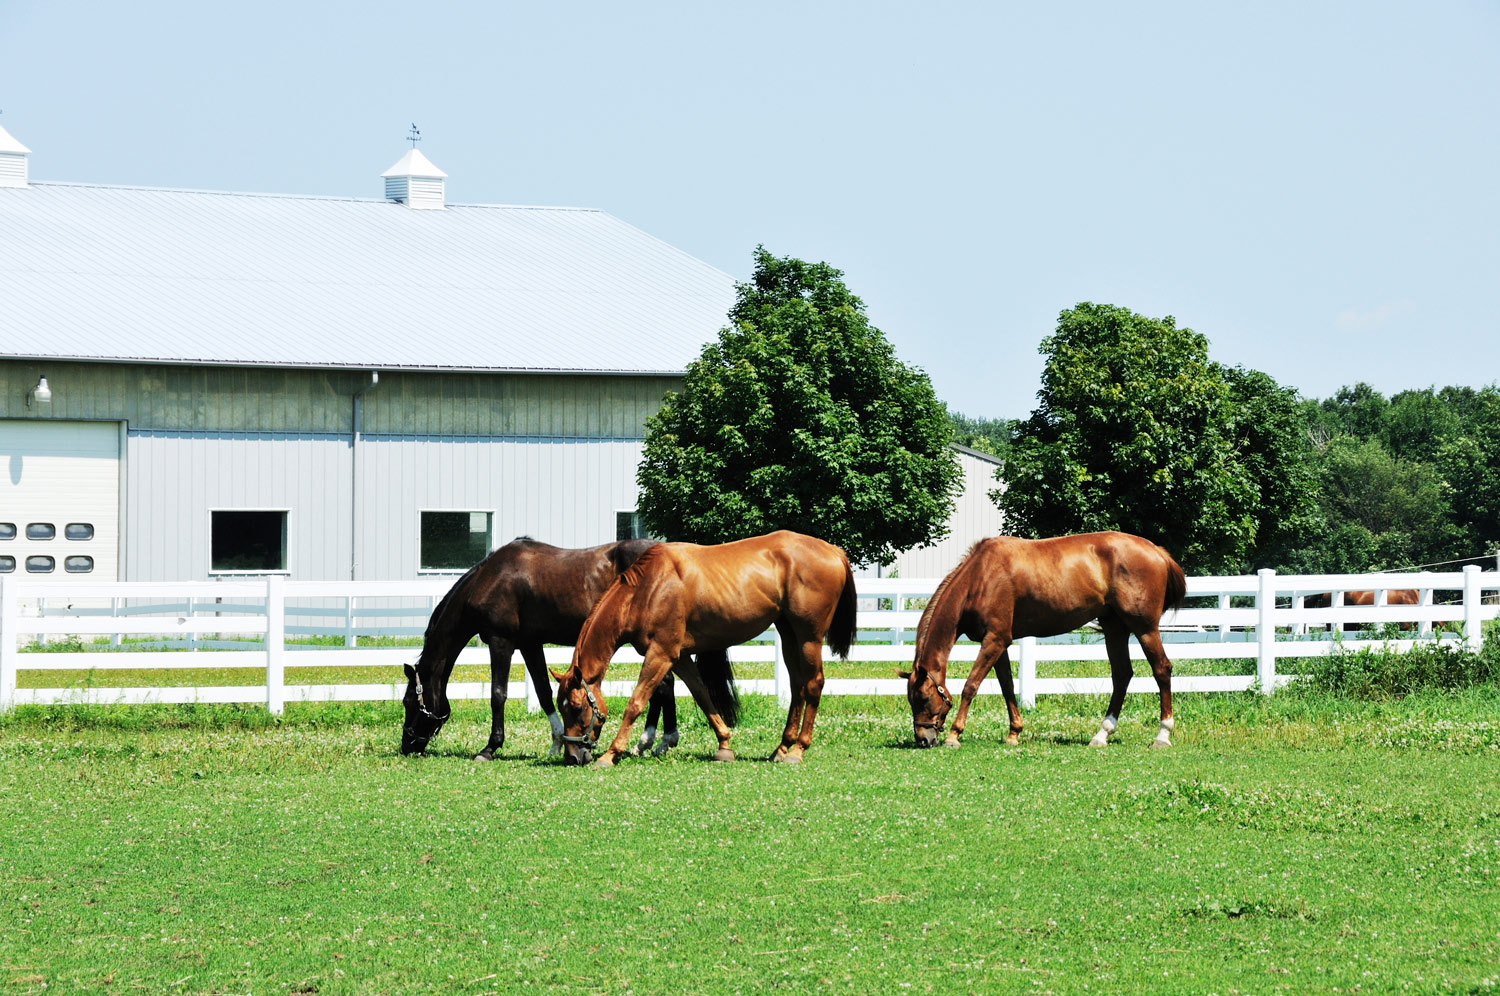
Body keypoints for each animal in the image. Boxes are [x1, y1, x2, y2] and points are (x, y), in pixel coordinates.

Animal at [400, 536, 667, 758]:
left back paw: (649, 742)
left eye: (408, 701)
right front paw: (557, 743)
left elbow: (498, 694)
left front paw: (490, 747)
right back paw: (660, 742)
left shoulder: (501, 642)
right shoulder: (530, 644)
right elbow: (543, 693)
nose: (406, 746)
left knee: (661, 687)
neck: (490, 578)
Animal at [551, 530, 858, 767]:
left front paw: (611, 754)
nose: (572, 756)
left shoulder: (661, 653)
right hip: (789, 633)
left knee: (813, 684)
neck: (649, 588)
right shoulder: (680, 657)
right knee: (797, 686)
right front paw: (724, 745)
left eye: (576, 708)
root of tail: (833, 550)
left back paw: (798, 749)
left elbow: (636, 702)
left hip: (809, 638)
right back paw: (782, 748)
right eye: (561, 707)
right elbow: (702, 694)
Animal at [901, 531, 1187, 750]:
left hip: (1144, 629)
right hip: (1115, 629)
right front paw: (1014, 733)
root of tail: (1157, 551)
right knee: (1122, 675)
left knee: (1162, 670)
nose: (923, 739)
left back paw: (1162, 735)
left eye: (923, 698)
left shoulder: (994, 640)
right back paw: (1102, 734)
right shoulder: (999, 643)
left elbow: (971, 685)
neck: (980, 577)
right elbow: (1007, 687)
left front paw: (954, 735)